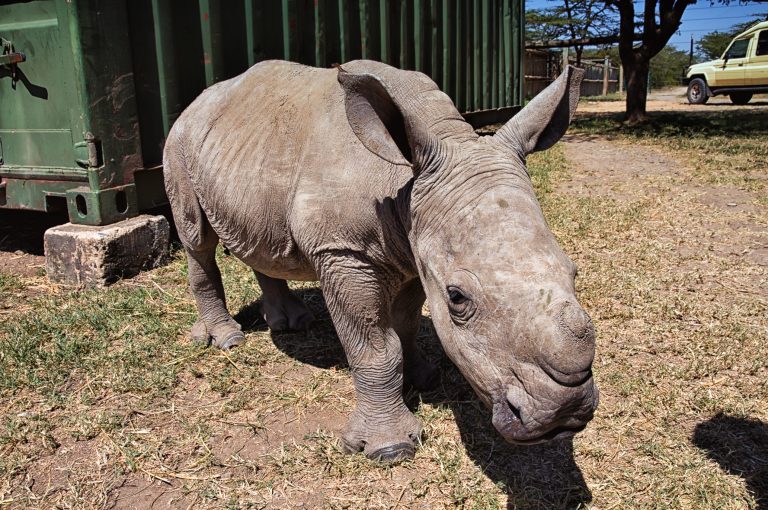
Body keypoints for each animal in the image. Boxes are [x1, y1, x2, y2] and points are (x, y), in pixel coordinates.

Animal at [163, 59, 598, 463]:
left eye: (574, 272)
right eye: (457, 298)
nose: (564, 413)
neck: (405, 185)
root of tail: (197, 102)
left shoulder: (414, 249)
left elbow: (406, 322)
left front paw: (424, 377)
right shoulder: (342, 251)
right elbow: (374, 347)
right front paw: (390, 448)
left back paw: (292, 323)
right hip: (179, 142)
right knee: (196, 239)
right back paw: (227, 340)